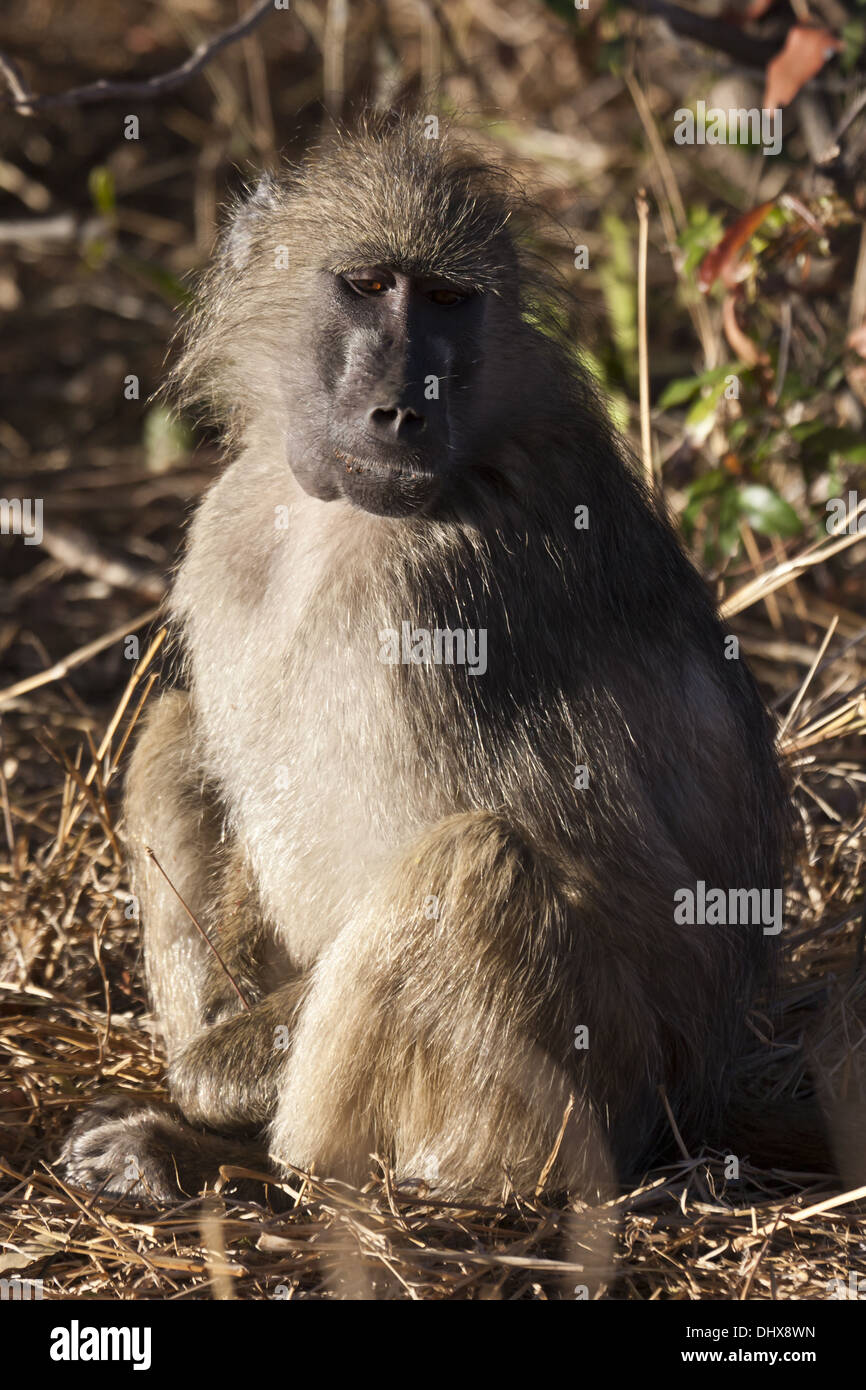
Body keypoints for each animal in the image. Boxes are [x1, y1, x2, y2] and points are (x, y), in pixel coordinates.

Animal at [60, 118, 792, 1206]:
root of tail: (692, 1111)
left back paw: (251, 1170)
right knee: (174, 726)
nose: (406, 408)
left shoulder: (449, 594)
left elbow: (603, 875)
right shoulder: (231, 524)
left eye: (448, 300)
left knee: (478, 862)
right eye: (368, 285)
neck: (339, 516)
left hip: (587, 1105)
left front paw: (209, 1078)